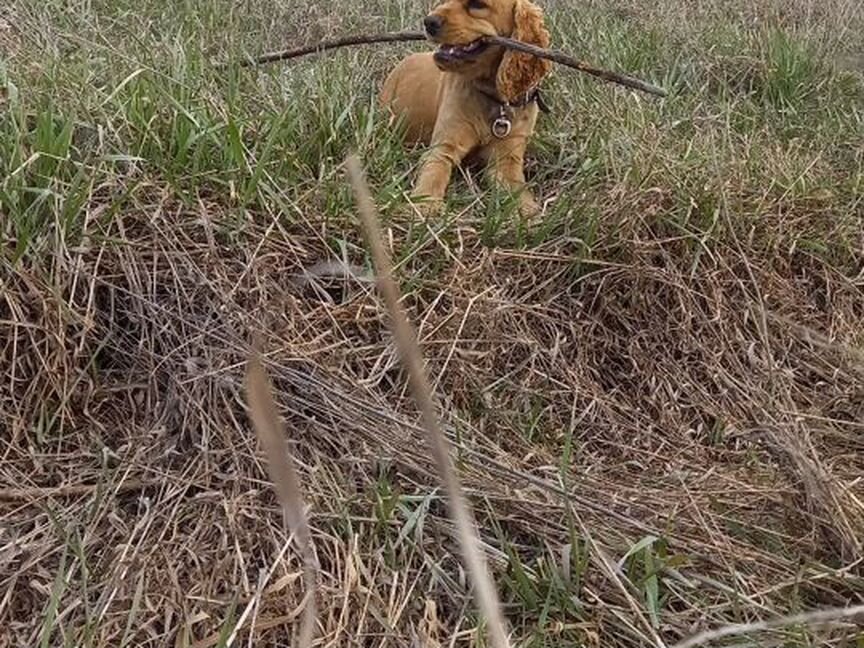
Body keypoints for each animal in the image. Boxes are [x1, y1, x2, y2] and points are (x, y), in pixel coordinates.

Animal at [380, 0, 552, 219]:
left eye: (477, 5)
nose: (428, 22)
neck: (493, 97)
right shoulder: (443, 147)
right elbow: (434, 173)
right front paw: (425, 205)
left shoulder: (506, 159)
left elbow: (516, 186)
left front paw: (527, 210)